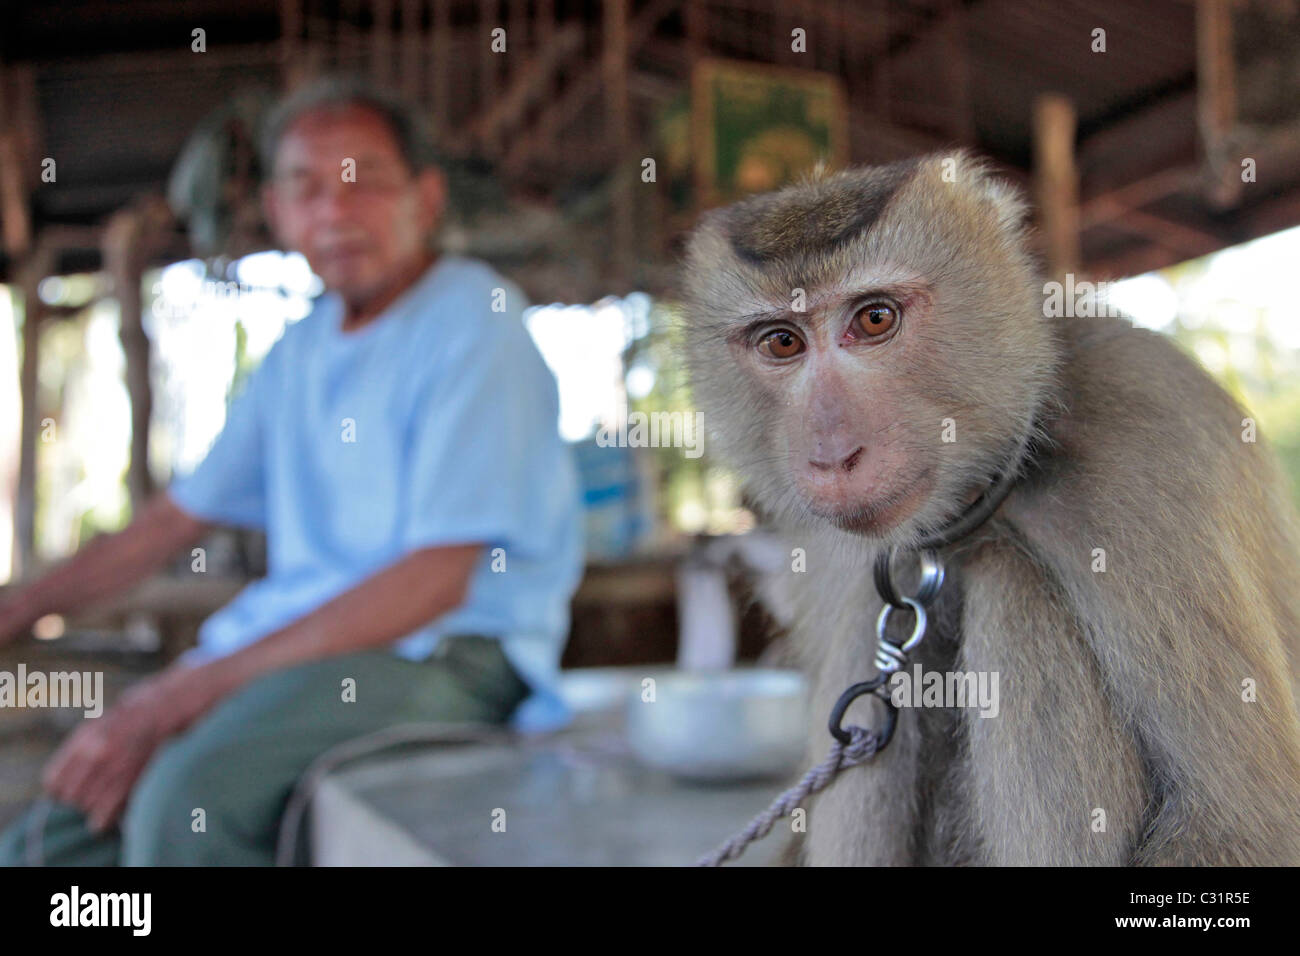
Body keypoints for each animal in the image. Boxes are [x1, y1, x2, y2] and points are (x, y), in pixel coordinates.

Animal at [680, 151, 1300, 866]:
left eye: (874, 319)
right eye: (781, 342)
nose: (833, 455)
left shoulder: (1150, 454)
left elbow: (1240, 819)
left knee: (1012, 583)